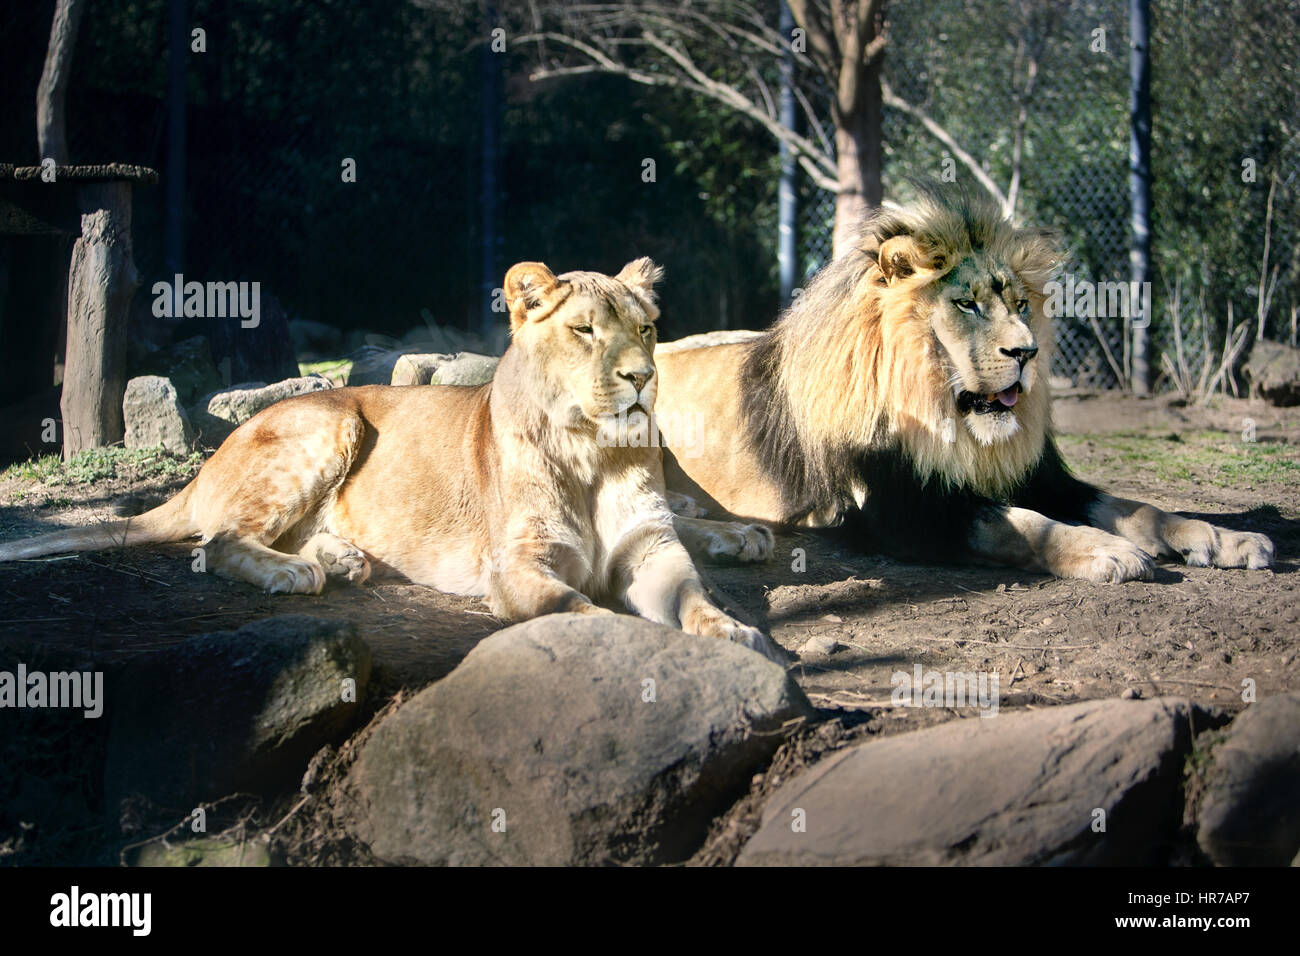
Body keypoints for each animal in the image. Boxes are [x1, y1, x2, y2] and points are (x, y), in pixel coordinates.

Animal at [0, 258, 783, 661]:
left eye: (646, 329)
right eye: (586, 331)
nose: (643, 378)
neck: (590, 447)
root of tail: (207, 463)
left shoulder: (650, 548)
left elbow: (694, 597)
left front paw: (734, 634)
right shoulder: (519, 567)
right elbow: (582, 609)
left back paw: (341, 558)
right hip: (331, 420)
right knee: (216, 542)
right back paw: (296, 572)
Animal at [653, 186, 1275, 583]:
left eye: (1020, 305)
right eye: (968, 304)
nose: (1026, 352)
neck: (949, 413)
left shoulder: (1043, 478)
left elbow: (1138, 506)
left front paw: (1225, 538)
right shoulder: (902, 510)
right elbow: (1016, 524)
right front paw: (1104, 550)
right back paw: (731, 537)